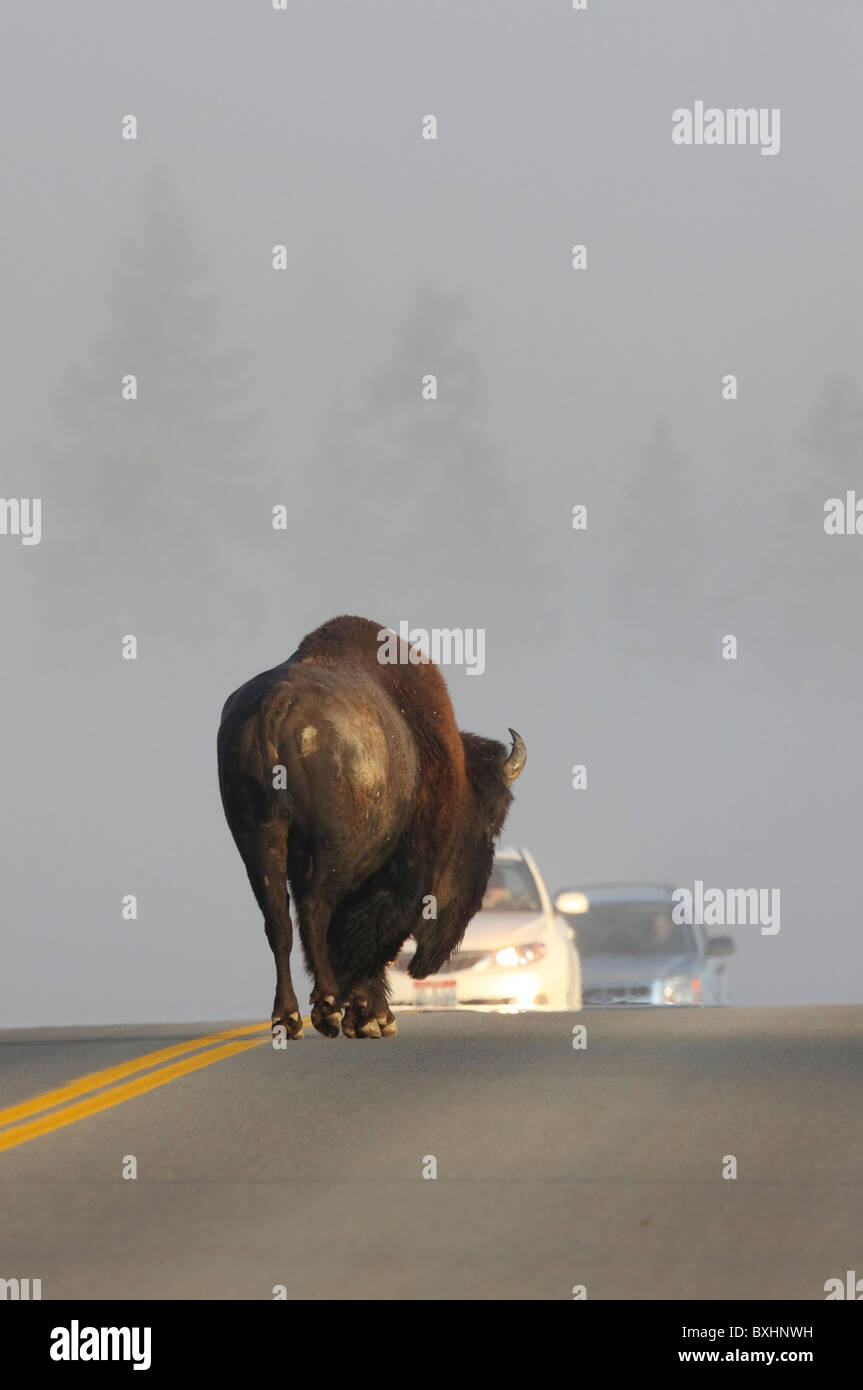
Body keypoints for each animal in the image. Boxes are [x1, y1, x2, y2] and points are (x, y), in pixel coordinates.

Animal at [217, 615, 525, 1039]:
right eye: (491, 821)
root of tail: (276, 708)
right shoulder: (402, 874)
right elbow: (373, 935)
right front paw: (373, 1018)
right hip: (331, 853)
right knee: (316, 915)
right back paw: (327, 1010)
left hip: (260, 843)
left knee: (279, 922)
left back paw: (288, 1018)